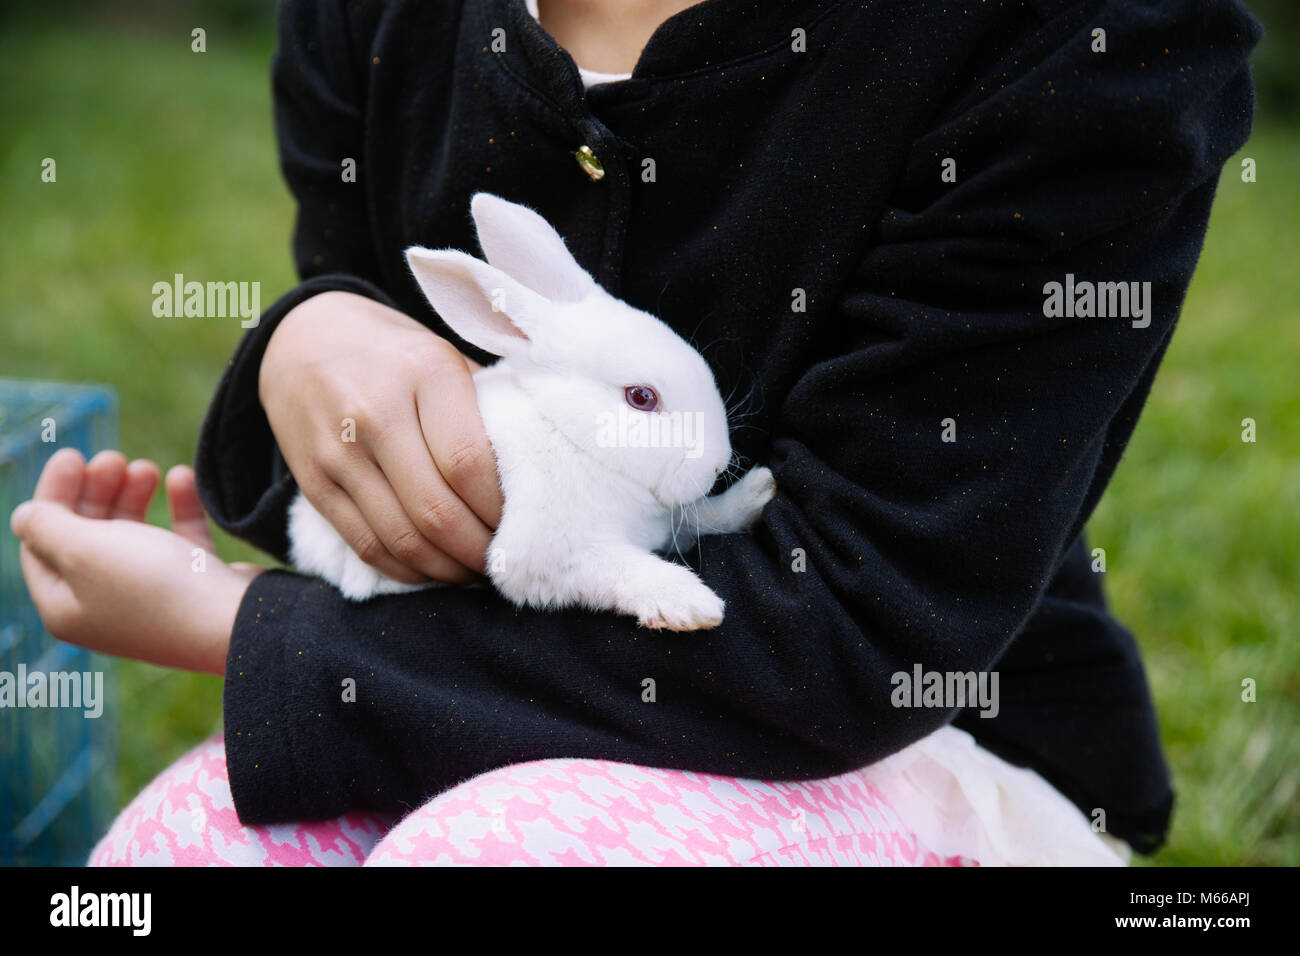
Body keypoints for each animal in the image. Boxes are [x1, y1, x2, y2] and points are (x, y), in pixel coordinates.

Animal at [287, 192, 776, 631]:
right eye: (641, 397)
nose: (717, 464)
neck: (572, 438)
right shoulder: (556, 555)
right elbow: (625, 569)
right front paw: (691, 605)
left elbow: (701, 520)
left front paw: (757, 492)